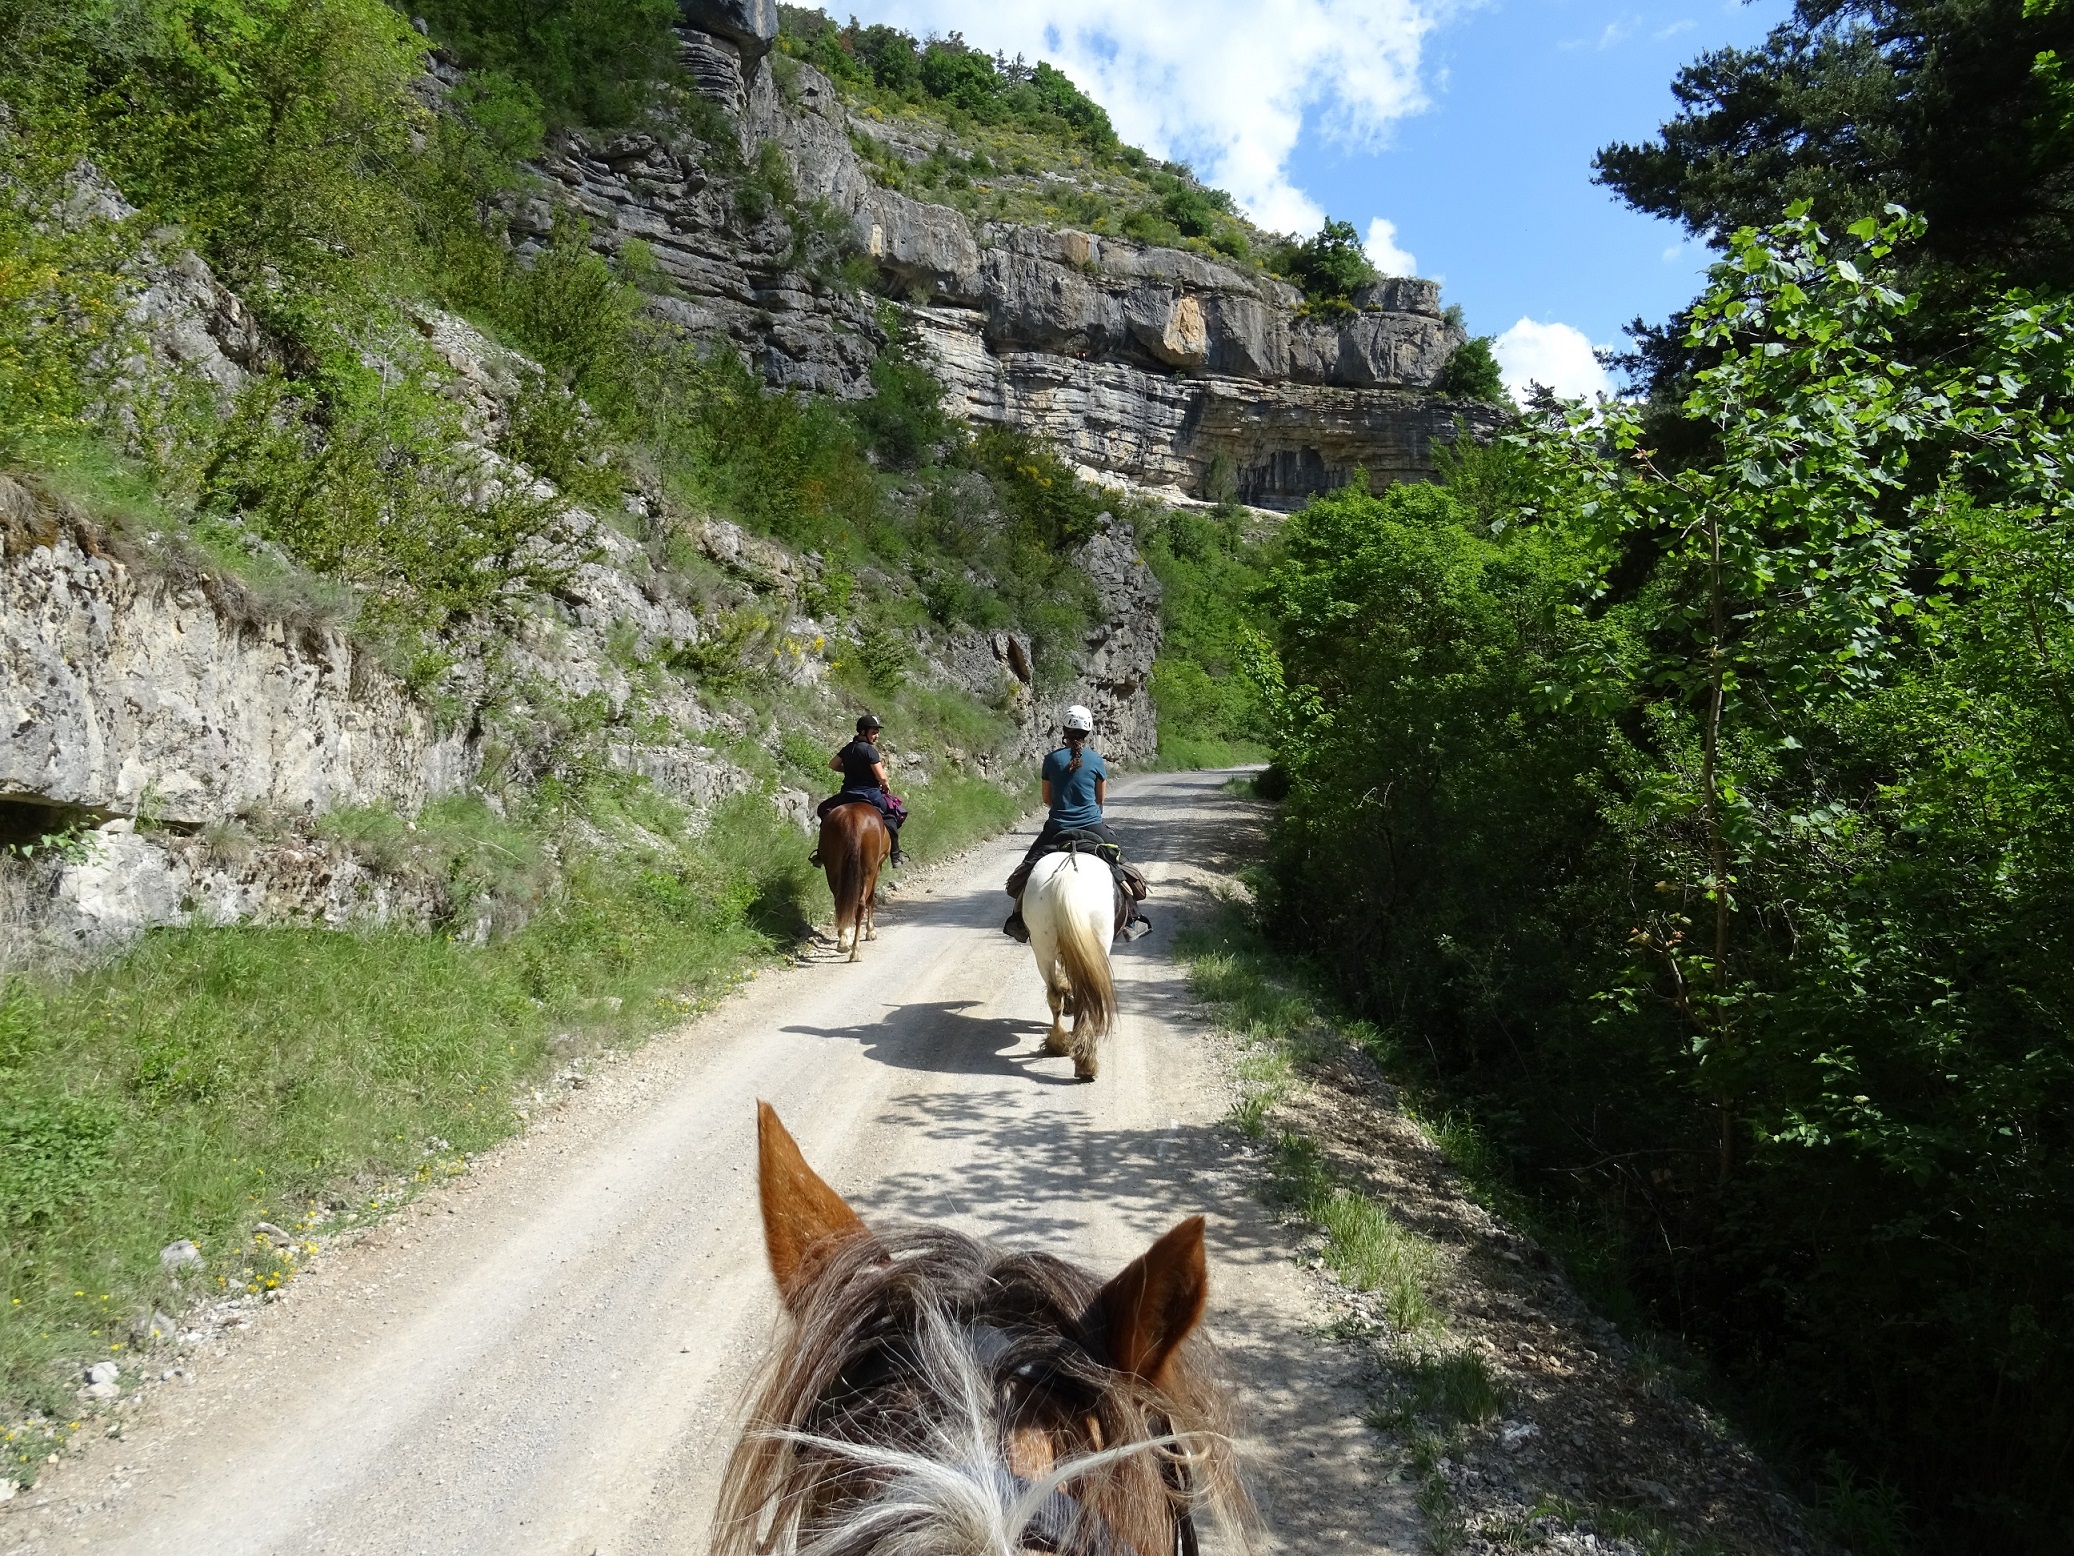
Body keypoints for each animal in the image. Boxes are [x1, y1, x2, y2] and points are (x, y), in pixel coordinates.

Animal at [819, 801, 892, 963]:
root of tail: (853, 819)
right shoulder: (877, 868)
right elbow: (871, 900)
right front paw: (871, 931)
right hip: (869, 871)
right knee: (860, 904)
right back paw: (855, 950)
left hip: (833, 869)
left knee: (840, 901)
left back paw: (843, 942)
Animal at [1021, 850, 1118, 1081]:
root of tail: (1066, 877)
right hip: (1100, 941)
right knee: (1087, 995)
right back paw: (1082, 1061)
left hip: (1042, 945)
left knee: (1054, 995)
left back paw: (1062, 1046)